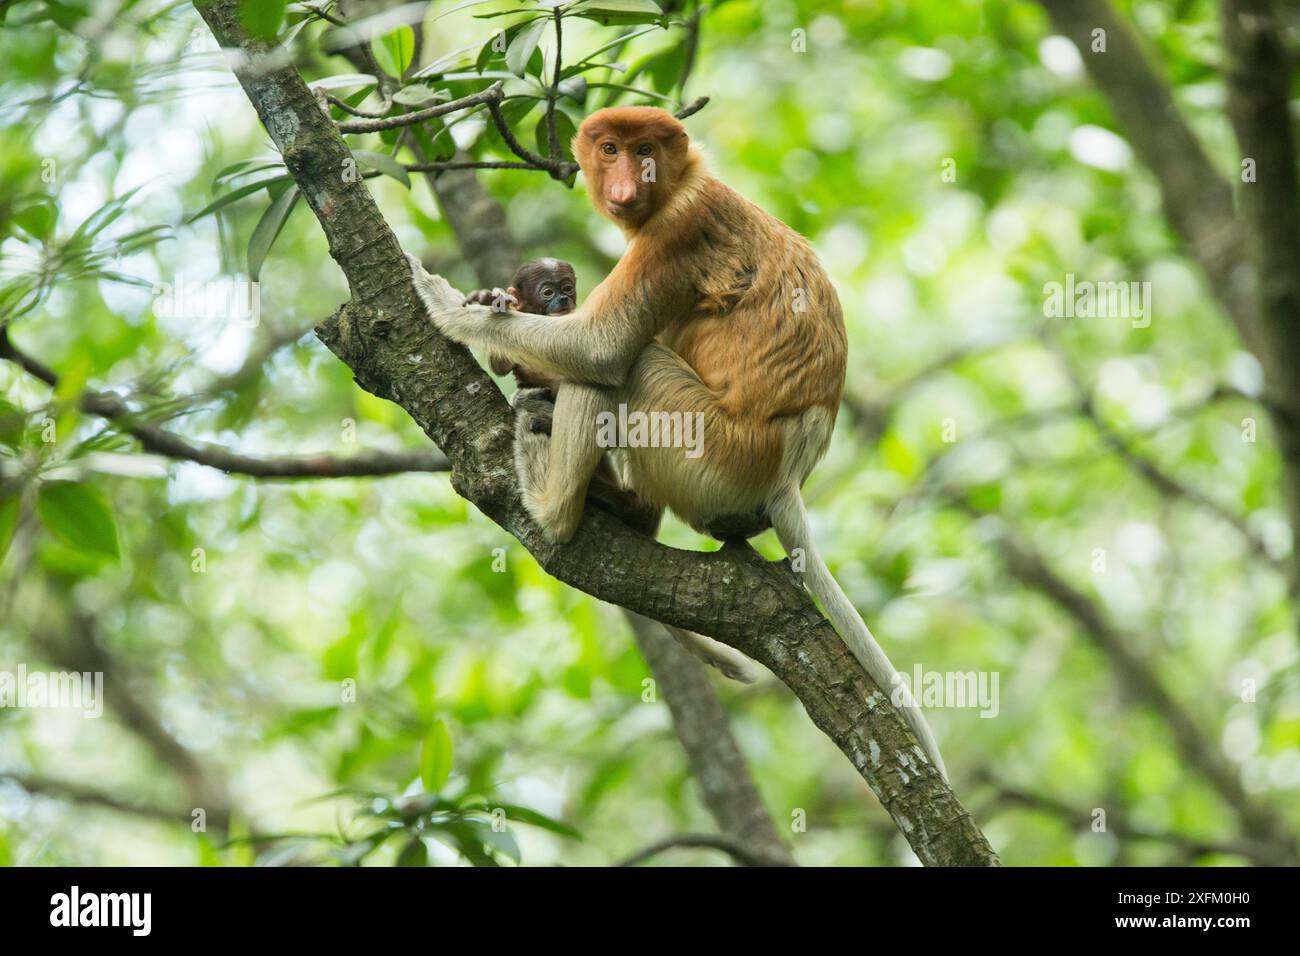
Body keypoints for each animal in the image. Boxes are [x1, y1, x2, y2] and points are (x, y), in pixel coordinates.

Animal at [409, 106, 946, 778]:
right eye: (609, 149)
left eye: (645, 149)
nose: (625, 182)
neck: (684, 182)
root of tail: (786, 475)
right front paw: (489, 309)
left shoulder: (676, 231)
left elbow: (602, 348)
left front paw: (447, 304)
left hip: (705, 445)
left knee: (625, 365)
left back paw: (555, 503)